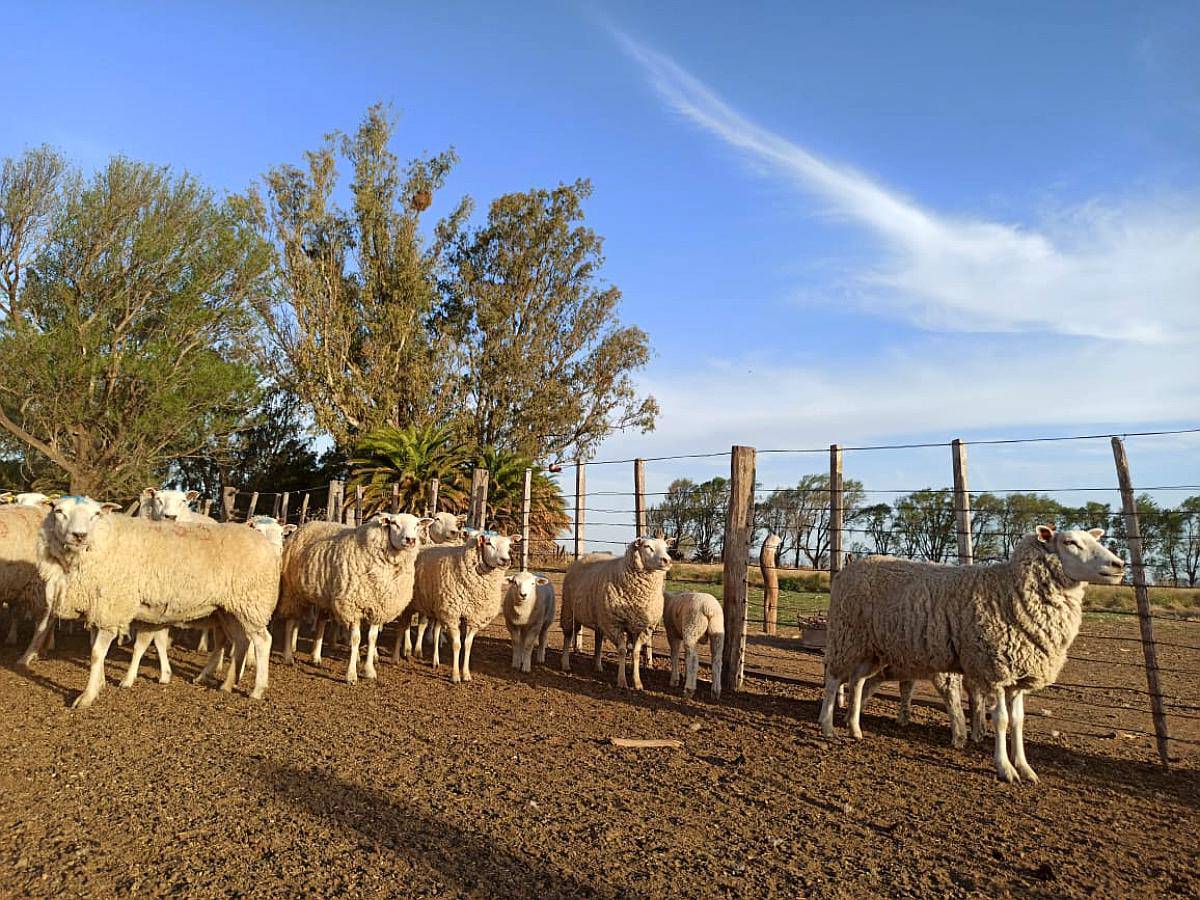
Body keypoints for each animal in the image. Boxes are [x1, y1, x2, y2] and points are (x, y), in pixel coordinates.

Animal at [37, 496, 280, 708]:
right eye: (59, 511)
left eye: (96, 514)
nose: (79, 535)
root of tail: (267, 545)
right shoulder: (100, 608)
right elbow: (96, 650)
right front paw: (101, 684)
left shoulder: (112, 605)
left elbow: (97, 653)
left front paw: (86, 696)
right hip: (230, 610)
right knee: (241, 641)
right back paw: (227, 685)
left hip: (252, 602)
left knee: (263, 641)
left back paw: (257, 689)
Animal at [278, 513, 429, 683]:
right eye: (394, 523)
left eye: (417, 525)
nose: (411, 540)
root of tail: (305, 525)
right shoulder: (352, 606)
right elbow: (356, 639)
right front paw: (351, 675)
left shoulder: (377, 607)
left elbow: (372, 638)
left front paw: (369, 670)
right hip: (292, 590)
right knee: (291, 621)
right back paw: (288, 655)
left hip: (324, 597)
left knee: (320, 623)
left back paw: (315, 657)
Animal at [409, 531, 517, 683]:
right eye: (488, 543)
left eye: (509, 545)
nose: (506, 560)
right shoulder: (452, 615)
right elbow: (457, 645)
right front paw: (455, 676)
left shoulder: (472, 617)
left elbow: (467, 645)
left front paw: (465, 674)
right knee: (412, 625)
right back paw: (410, 650)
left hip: (436, 606)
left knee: (433, 630)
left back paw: (434, 660)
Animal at [560, 537, 672, 690]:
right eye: (648, 547)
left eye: (666, 548)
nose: (667, 560)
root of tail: (583, 558)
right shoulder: (615, 624)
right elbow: (622, 651)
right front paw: (622, 681)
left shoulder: (642, 627)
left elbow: (635, 653)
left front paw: (637, 682)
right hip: (570, 610)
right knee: (568, 636)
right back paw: (565, 664)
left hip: (600, 618)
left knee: (598, 640)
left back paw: (598, 666)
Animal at [817, 525, 1124, 783]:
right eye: (1070, 542)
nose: (1118, 565)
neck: (1009, 590)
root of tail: (850, 568)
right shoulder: (994, 668)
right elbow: (1001, 720)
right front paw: (1005, 768)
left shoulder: (1018, 675)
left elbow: (1018, 721)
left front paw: (1025, 768)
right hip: (846, 637)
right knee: (833, 680)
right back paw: (827, 726)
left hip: (873, 649)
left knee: (857, 682)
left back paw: (855, 728)